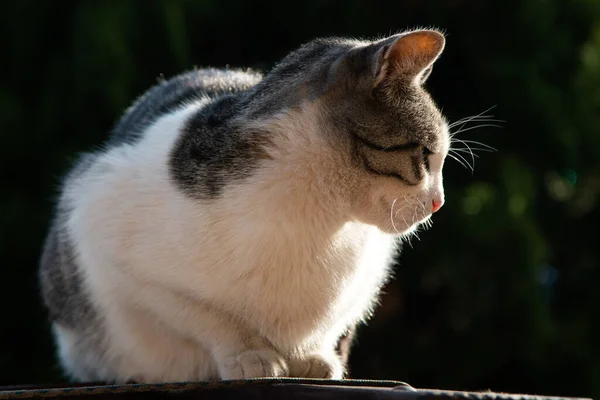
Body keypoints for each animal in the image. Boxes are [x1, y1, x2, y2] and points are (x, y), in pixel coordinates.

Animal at [38, 28, 450, 384]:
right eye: (425, 156)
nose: (438, 203)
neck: (319, 213)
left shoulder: (364, 282)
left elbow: (326, 325)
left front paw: (310, 356)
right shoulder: (113, 251)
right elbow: (206, 316)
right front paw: (250, 355)